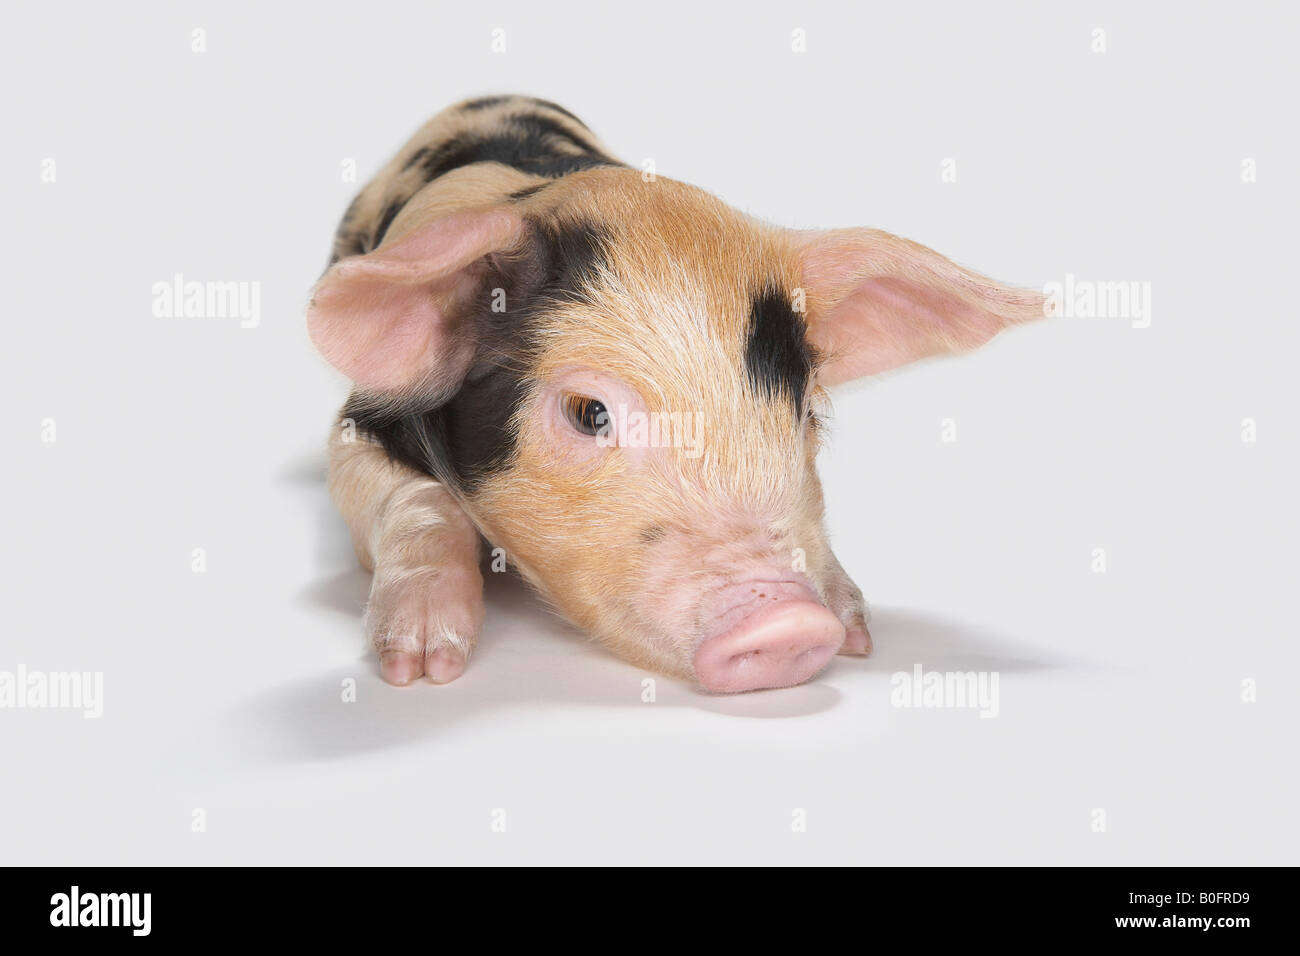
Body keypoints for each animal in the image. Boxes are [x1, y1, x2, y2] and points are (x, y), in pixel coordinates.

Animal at [309, 95, 1046, 693]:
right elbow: (417, 499)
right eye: (589, 413)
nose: (790, 623)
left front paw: (857, 632)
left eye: (805, 413)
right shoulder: (361, 419)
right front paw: (421, 668)